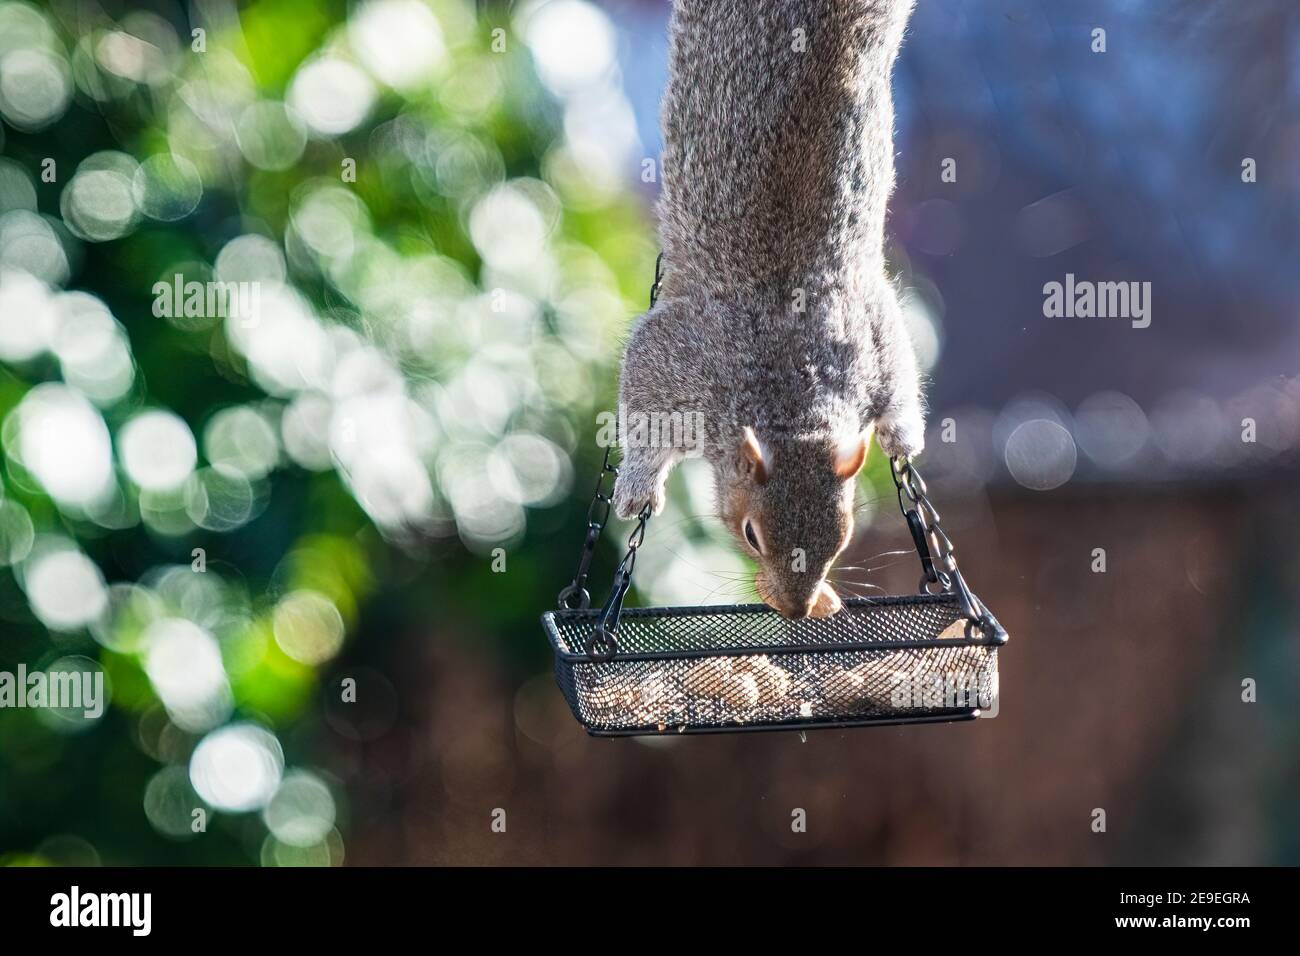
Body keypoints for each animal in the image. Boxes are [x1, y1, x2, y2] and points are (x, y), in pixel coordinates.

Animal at [612, 0, 925, 620]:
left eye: (843, 538)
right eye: (751, 535)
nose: (796, 610)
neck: (796, 389)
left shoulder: (877, 339)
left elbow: (902, 387)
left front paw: (904, 442)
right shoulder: (679, 365)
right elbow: (641, 403)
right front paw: (637, 486)